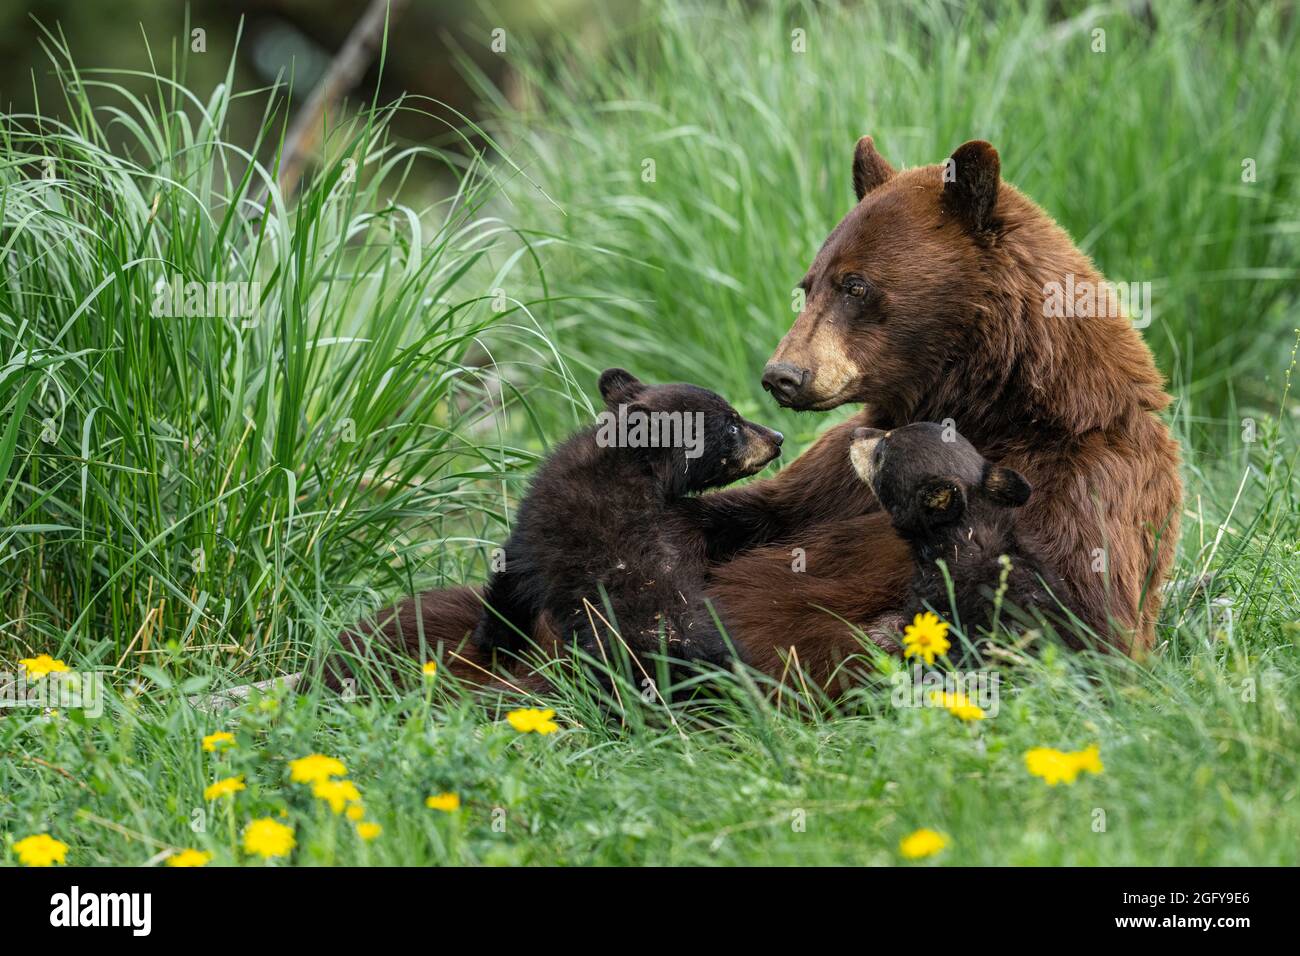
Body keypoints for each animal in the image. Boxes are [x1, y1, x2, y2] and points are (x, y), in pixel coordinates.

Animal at [470, 367, 784, 678]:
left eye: (735, 417)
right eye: (732, 425)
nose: (778, 437)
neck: (625, 462)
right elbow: (510, 577)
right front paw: (492, 642)